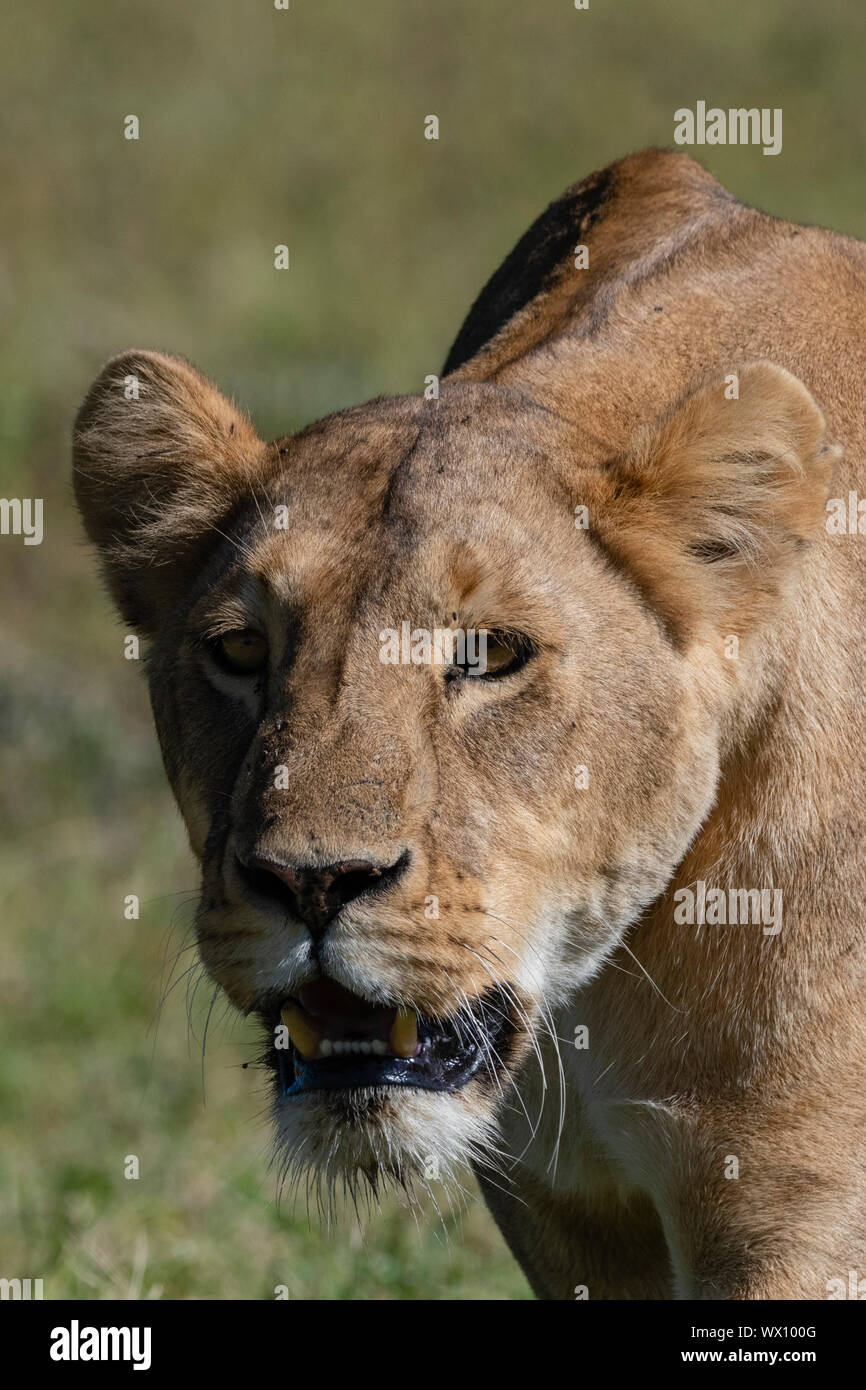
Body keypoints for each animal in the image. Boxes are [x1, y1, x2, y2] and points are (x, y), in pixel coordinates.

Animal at [73, 148, 866, 1300]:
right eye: (241, 652)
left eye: (489, 654)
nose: (313, 882)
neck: (589, 988)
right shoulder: (560, 1210)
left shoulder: (792, 1207)